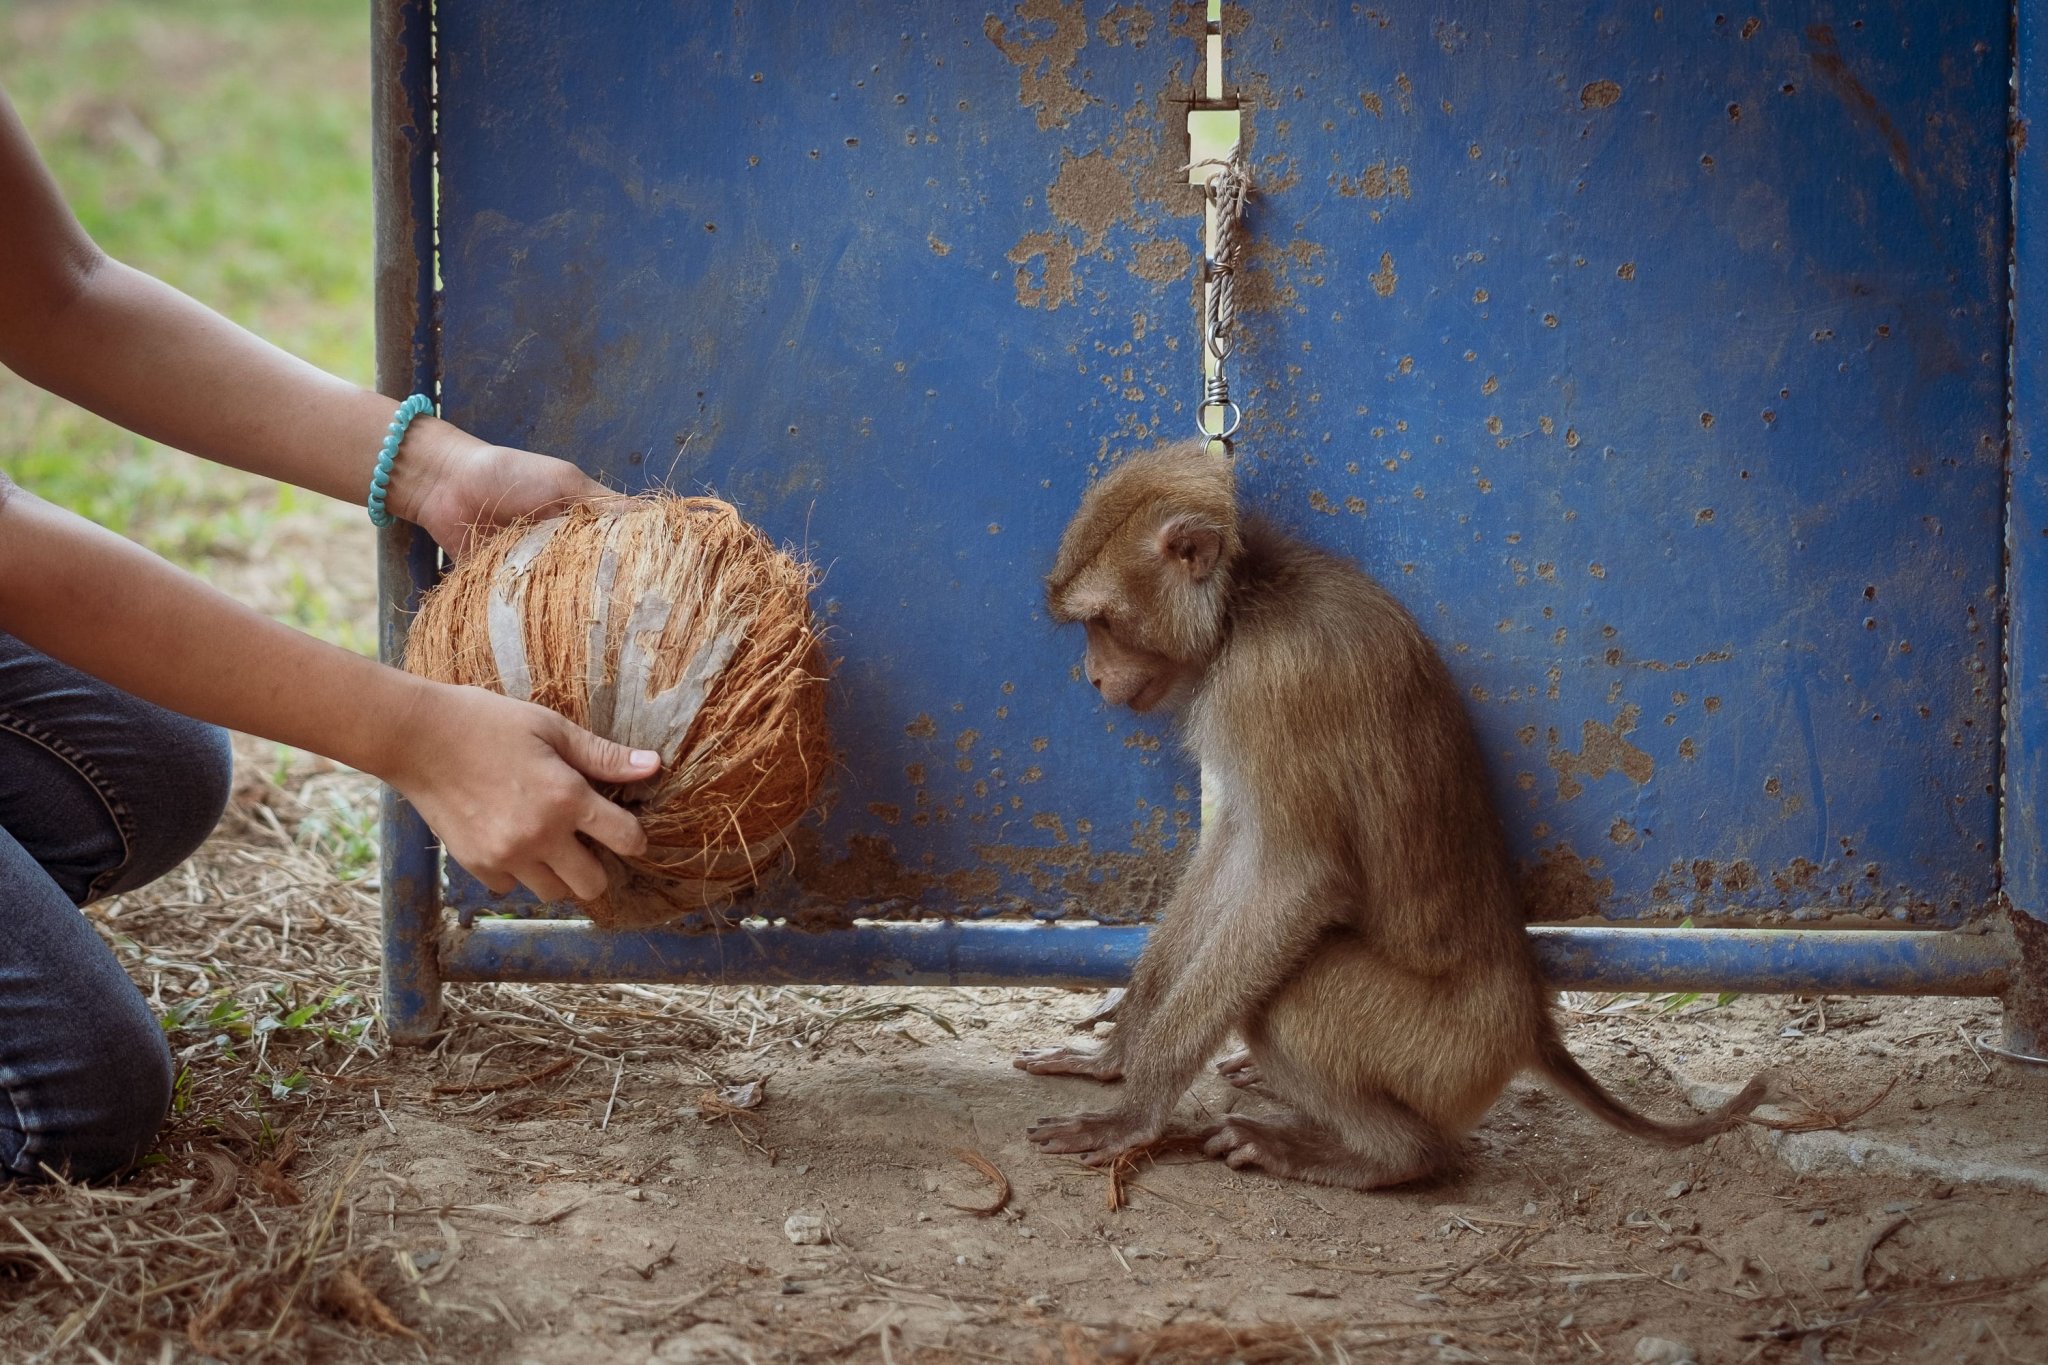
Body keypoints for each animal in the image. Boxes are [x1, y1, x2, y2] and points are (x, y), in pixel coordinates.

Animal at [1015, 441, 1771, 1190]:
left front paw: (1136, 1108)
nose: (1094, 674)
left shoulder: (1272, 688)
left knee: (1289, 1002)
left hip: (1439, 1051)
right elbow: (1231, 849)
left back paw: (1384, 1155)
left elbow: (1294, 880)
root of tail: (1531, 1024)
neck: (1246, 605)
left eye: (1104, 622)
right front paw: (1118, 1052)